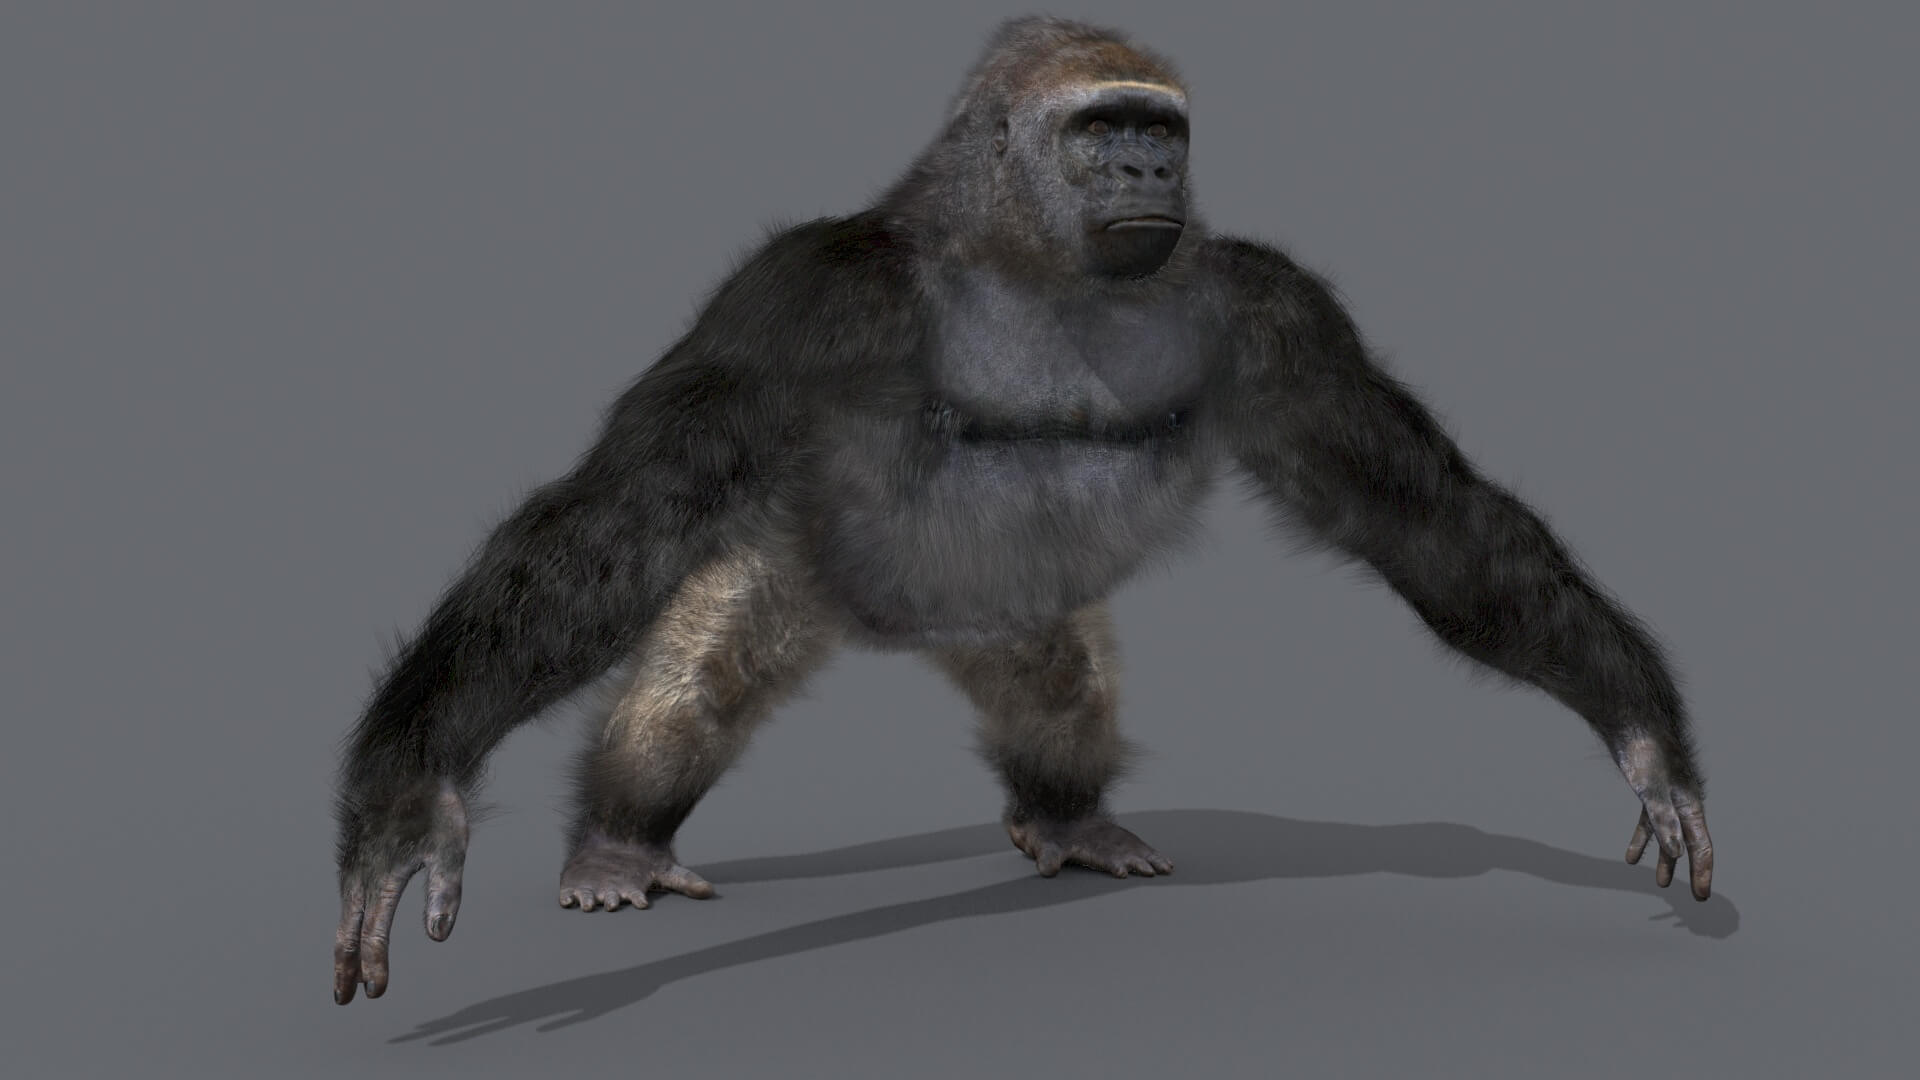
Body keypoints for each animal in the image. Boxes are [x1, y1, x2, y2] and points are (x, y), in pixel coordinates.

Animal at [331, 16, 1713, 1005]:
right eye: (1105, 127)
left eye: (1164, 130)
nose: (1151, 164)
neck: (1030, 255)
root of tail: (894, 631)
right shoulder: (802, 292)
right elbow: (625, 512)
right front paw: (410, 793)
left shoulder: (1280, 315)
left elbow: (1432, 521)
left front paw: (1642, 732)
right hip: (787, 557)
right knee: (693, 686)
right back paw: (621, 842)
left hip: (1010, 623)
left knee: (1059, 696)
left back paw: (1065, 817)